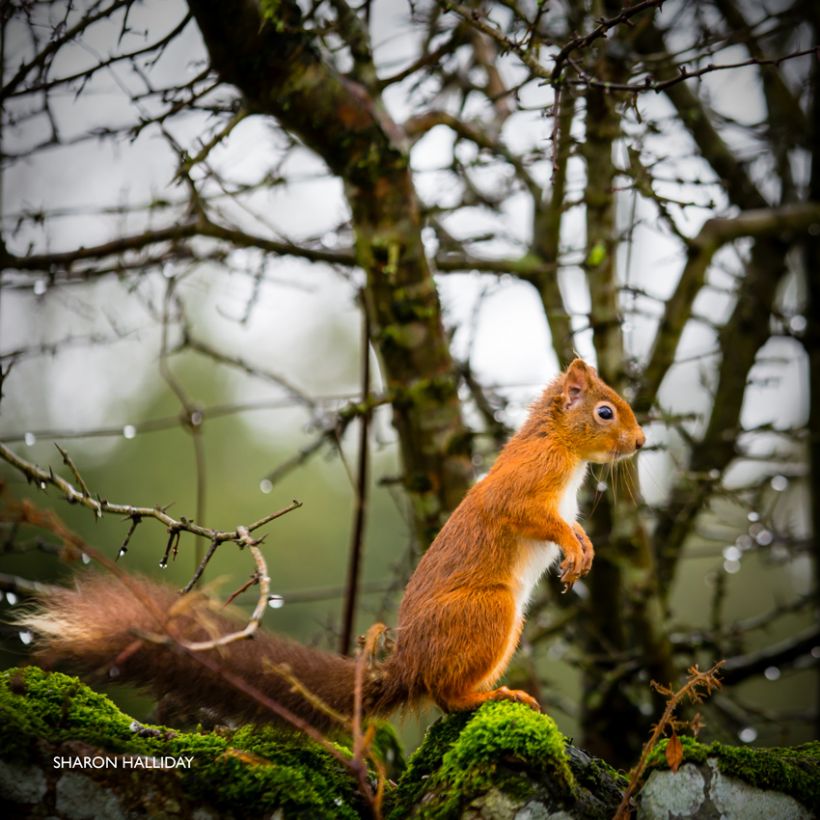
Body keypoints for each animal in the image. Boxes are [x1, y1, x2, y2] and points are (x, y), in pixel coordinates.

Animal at [20, 359, 645, 728]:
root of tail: (405, 666)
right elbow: (534, 517)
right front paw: (573, 546)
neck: (562, 448)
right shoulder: (525, 486)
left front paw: (583, 546)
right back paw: (490, 698)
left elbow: (572, 526)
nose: (641, 440)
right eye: (604, 410)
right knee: (445, 695)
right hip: (489, 611)